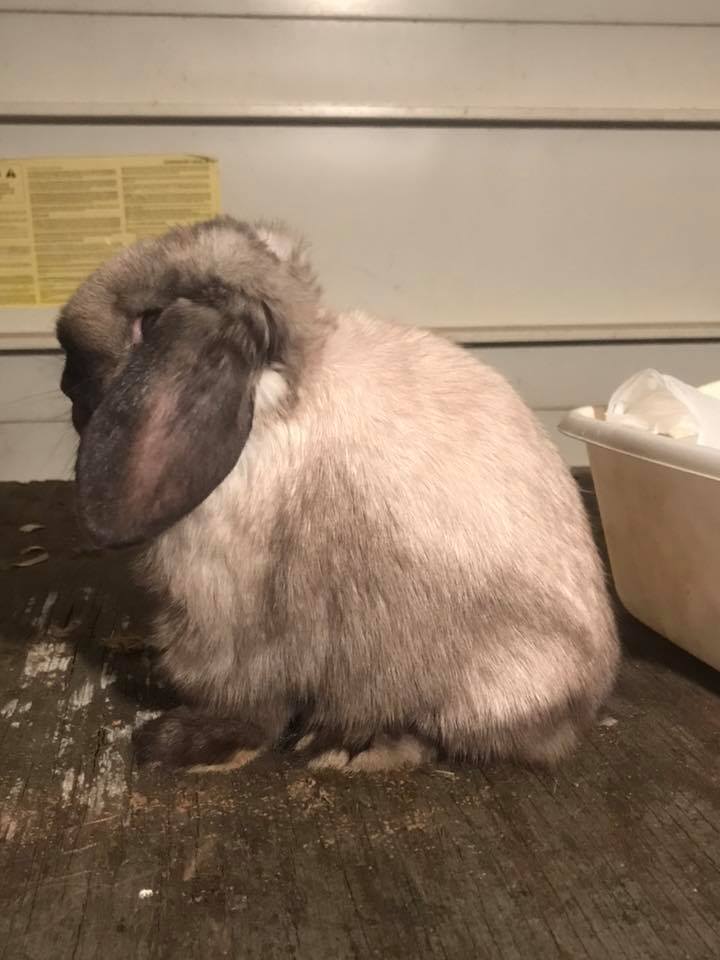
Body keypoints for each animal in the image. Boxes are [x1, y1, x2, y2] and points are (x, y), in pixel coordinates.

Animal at [56, 215, 619, 773]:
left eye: (147, 324)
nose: (66, 386)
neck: (275, 403)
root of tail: (582, 705)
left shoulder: (226, 621)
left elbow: (250, 706)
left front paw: (175, 745)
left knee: (441, 735)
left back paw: (348, 747)